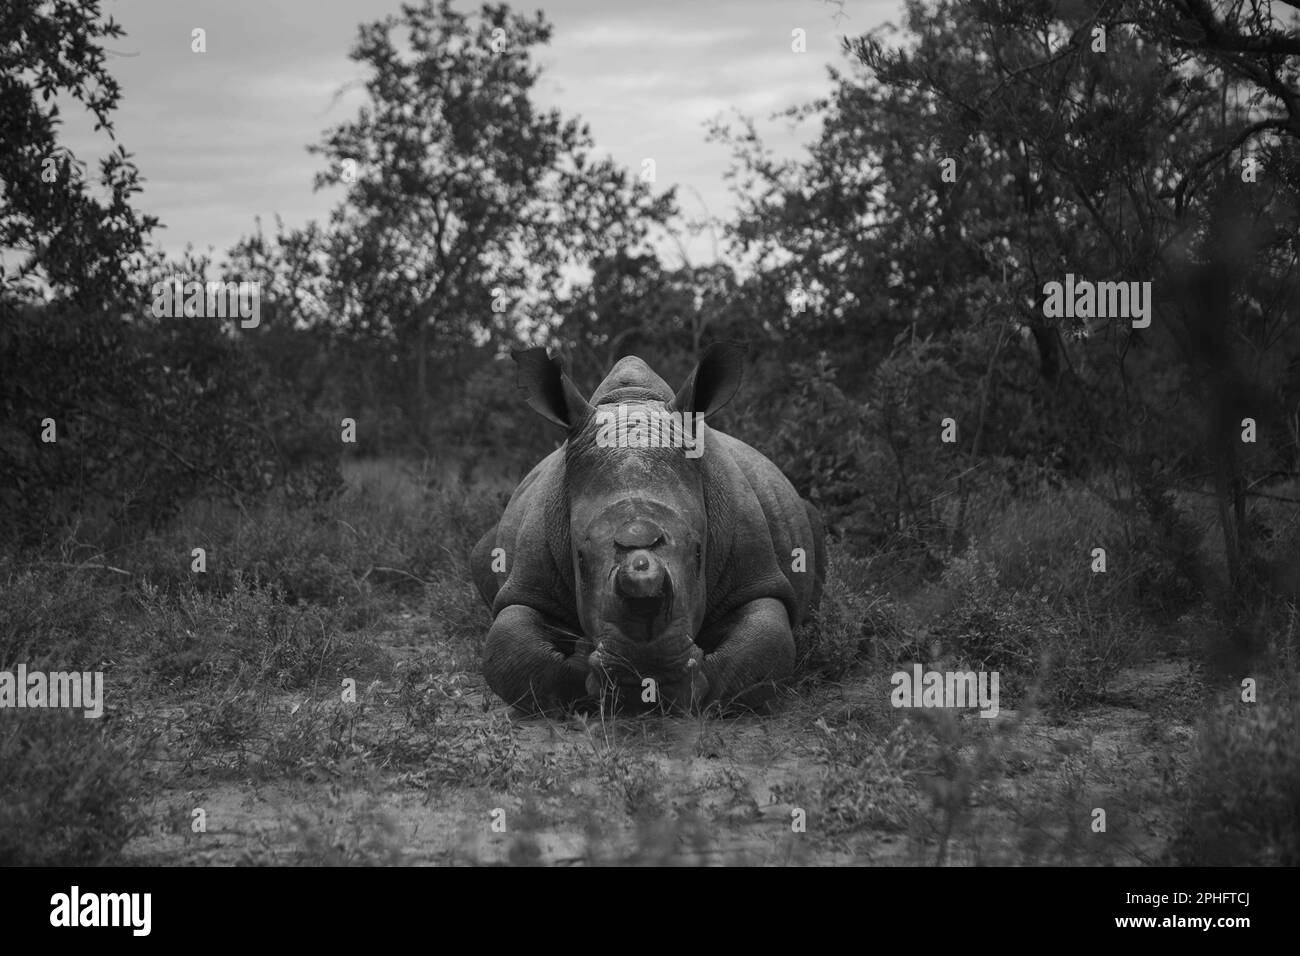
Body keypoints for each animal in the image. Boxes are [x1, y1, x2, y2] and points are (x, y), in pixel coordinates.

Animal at [471, 344, 826, 716]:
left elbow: (759, 651)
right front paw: (583, 661)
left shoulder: (758, 579)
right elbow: (513, 654)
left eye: (699, 553)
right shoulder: (527, 586)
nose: (645, 678)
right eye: (579, 558)